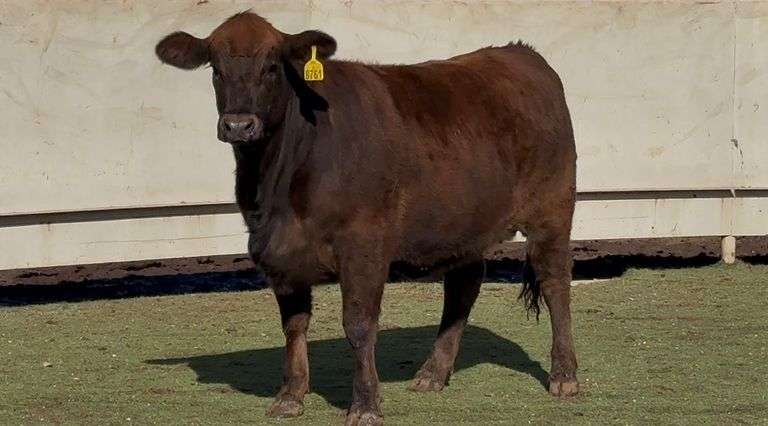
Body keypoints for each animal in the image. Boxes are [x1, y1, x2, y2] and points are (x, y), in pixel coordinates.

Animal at [156, 11, 578, 425]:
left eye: (273, 66)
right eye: (215, 68)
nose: (239, 125)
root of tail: (520, 53)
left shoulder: (364, 246)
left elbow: (358, 324)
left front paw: (365, 405)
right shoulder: (282, 254)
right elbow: (294, 325)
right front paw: (290, 396)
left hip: (552, 211)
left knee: (555, 282)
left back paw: (564, 376)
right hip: (463, 224)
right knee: (464, 285)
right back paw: (432, 373)